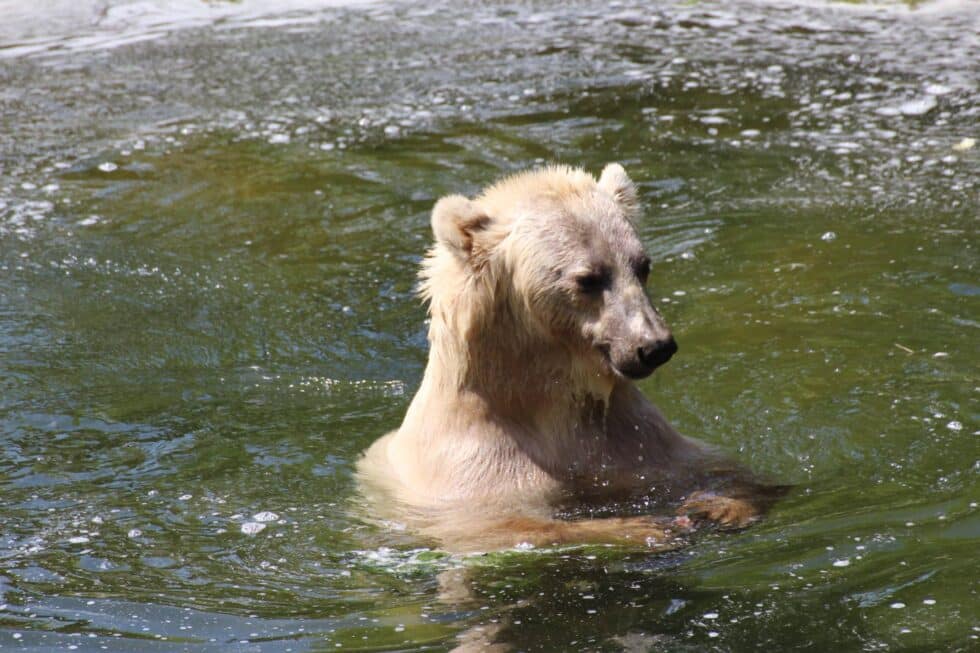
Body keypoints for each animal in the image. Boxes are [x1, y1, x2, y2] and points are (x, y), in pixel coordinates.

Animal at [357, 164, 780, 553]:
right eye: (588, 278)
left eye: (642, 265)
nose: (655, 345)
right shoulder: (476, 471)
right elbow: (508, 528)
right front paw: (642, 527)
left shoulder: (641, 442)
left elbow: (731, 473)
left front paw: (715, 505)